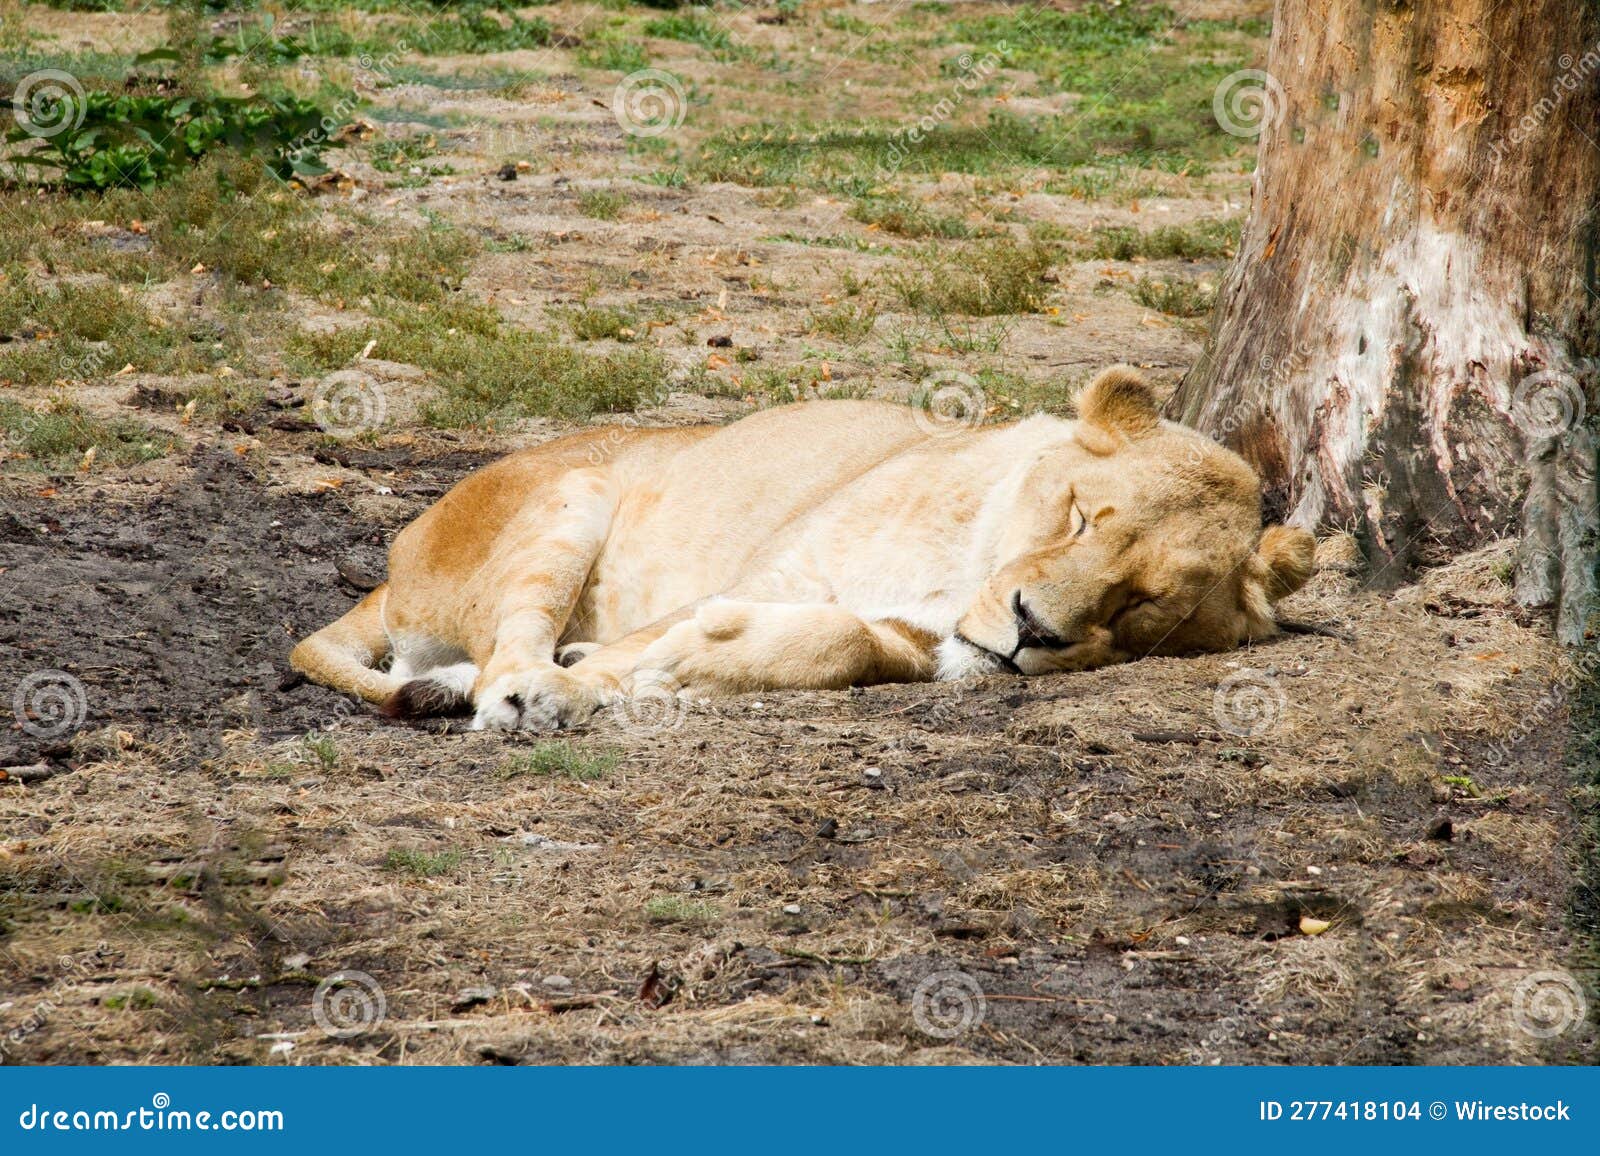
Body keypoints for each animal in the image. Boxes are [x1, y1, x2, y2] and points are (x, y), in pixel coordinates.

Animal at [290, 366, 1315, 730]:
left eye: (1144, 605)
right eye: (1079, 516)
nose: (1033, 630)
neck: (968, 566)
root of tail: (397, 557)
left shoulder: (916, 643)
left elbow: (839, 640)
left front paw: (692, 667)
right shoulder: (774, 567)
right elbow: (621, 650)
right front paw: (578, 685)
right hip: (570, 500)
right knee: (504, 650)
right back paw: (519, 688)